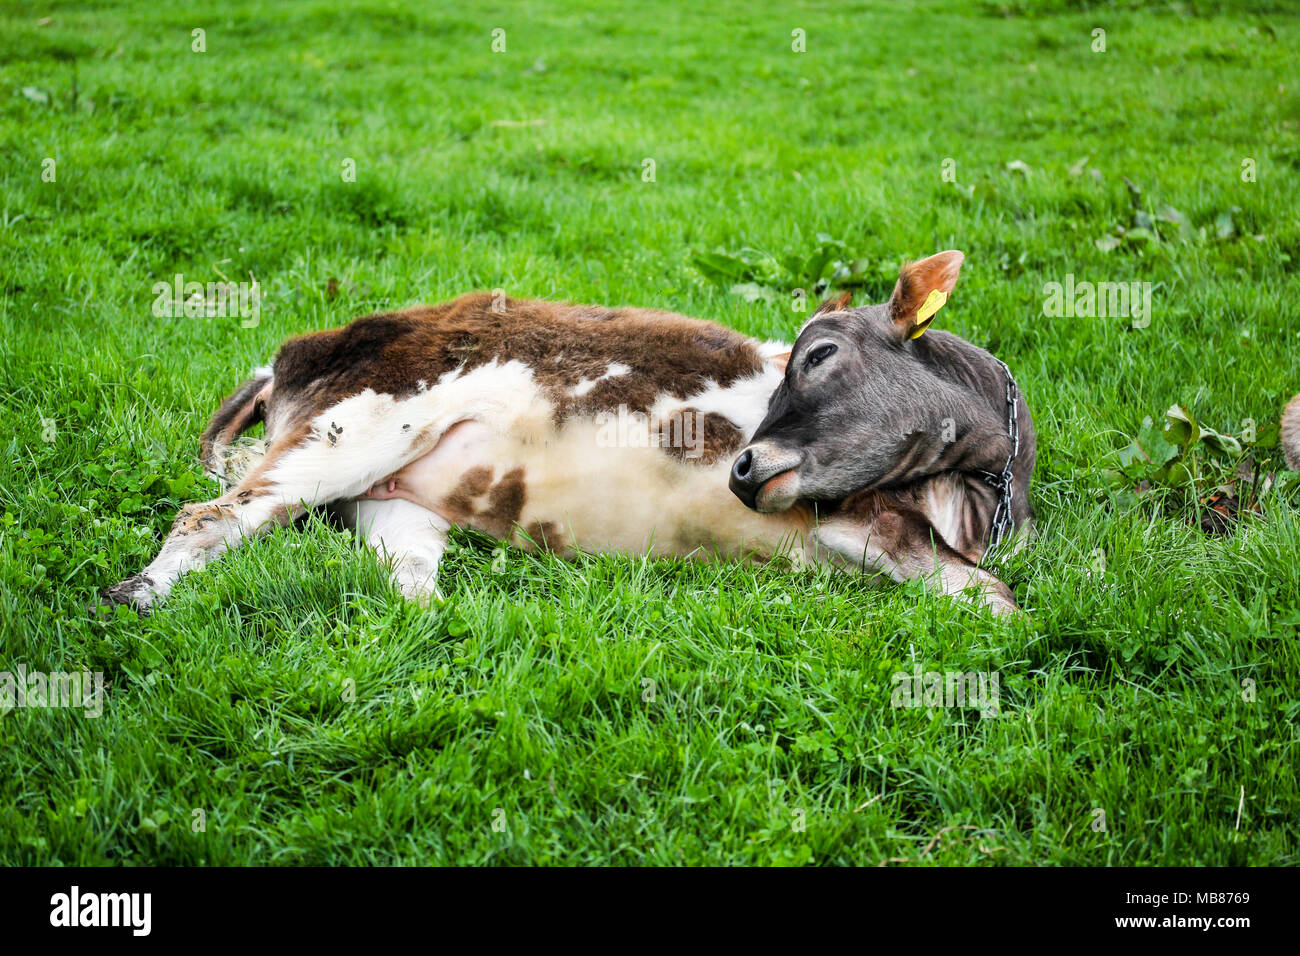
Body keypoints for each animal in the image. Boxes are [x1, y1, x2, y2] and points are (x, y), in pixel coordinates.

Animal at [98, 250, 1035, 617]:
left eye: (825, 352)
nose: (741, 472)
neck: (980, 498)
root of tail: (297, 347)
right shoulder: (856, 518)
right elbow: (998, 598)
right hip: (356, 427)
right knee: (209, 516)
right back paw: (136, 595)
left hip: (395, 502)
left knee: (407, 589)